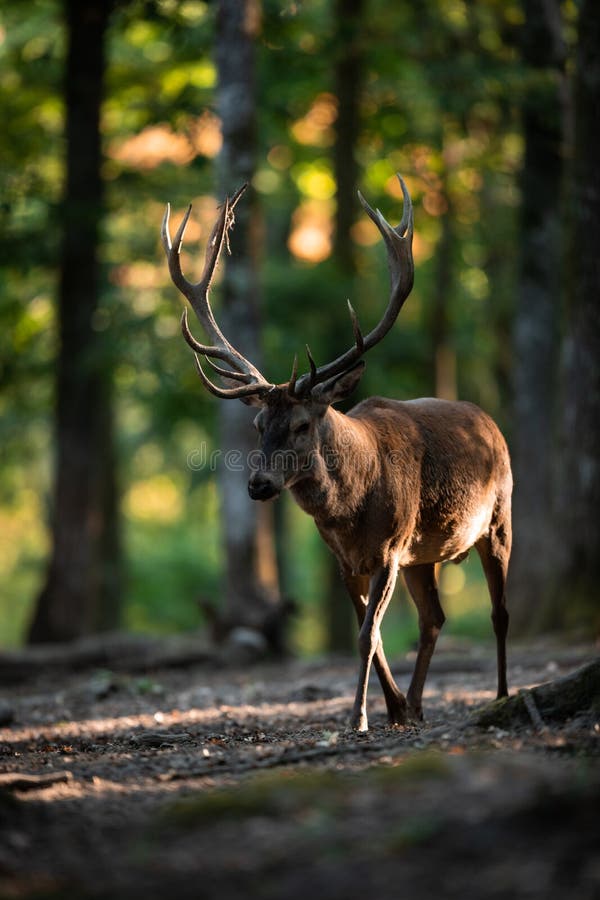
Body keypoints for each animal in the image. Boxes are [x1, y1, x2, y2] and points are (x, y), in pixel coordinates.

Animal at [161, 176, 512, 731]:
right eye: (258, 425)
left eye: (302, 424)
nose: (258, 484)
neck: (351, 510)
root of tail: (491, 422)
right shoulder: (347, 560)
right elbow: (371, 634)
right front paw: (393, 709)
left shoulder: (390, 546)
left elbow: (368, 634)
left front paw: (359, 717)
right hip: (424, 554)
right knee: (434, 618)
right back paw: (417, 705)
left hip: (498, 517)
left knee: (500, 613)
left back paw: (500, 695)